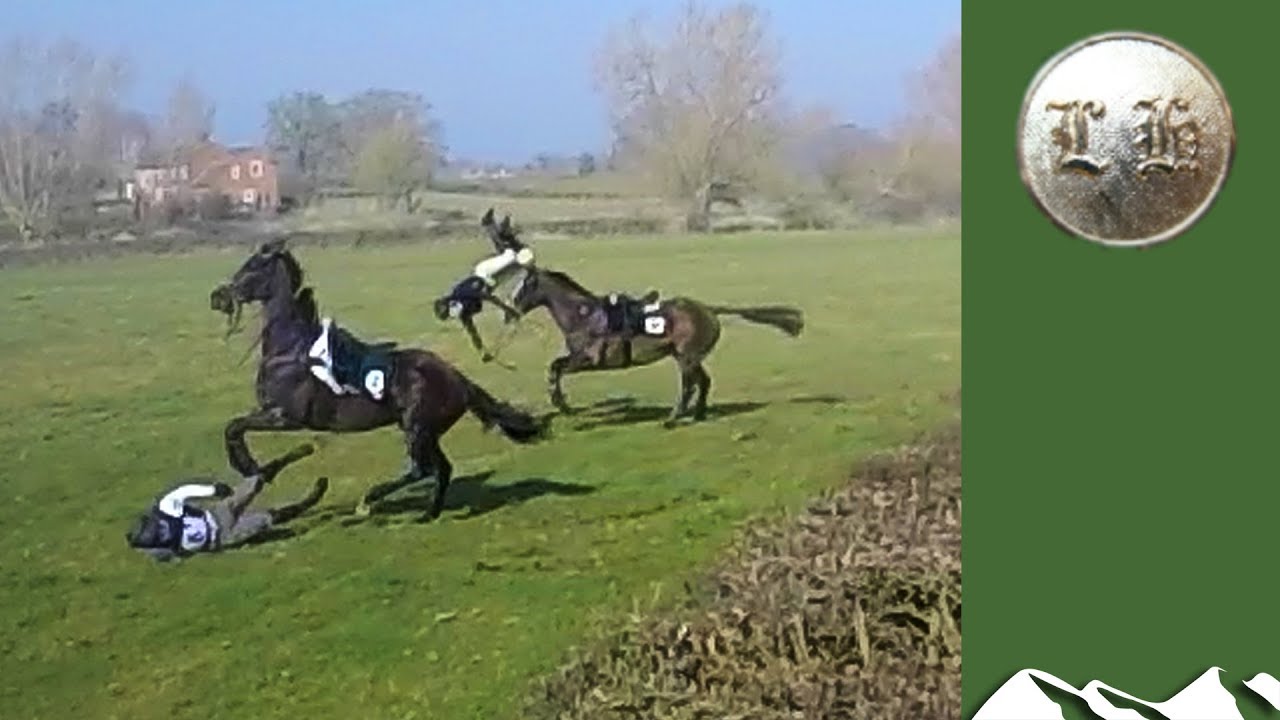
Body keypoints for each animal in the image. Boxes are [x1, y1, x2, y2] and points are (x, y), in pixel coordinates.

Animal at [208, 238, 548, 521]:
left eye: (253, 266)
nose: (218, 296)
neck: (291, 350)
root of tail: (458, 380)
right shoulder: (275, 413)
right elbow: (233, 427)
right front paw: (250, 467)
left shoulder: (286, 416)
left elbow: (235, 426)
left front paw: (249, 466)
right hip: (425, 431)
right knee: (441, 469)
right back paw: (429, 513)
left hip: (416, 427)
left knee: (421, 469)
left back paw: (370, 500)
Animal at [508, 263, 805, 426]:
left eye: (525, 285)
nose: (511, 309)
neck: (584, 315)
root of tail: (709, 310)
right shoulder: (579, 358)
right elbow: (555, 367)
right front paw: (562, 404)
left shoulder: (588, 359)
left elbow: (555, 368)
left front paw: (562, 404)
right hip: (688, 356)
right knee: (704, 381)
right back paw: (698, 415)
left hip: (686, 357)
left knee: (688, 386)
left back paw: (673, 419)